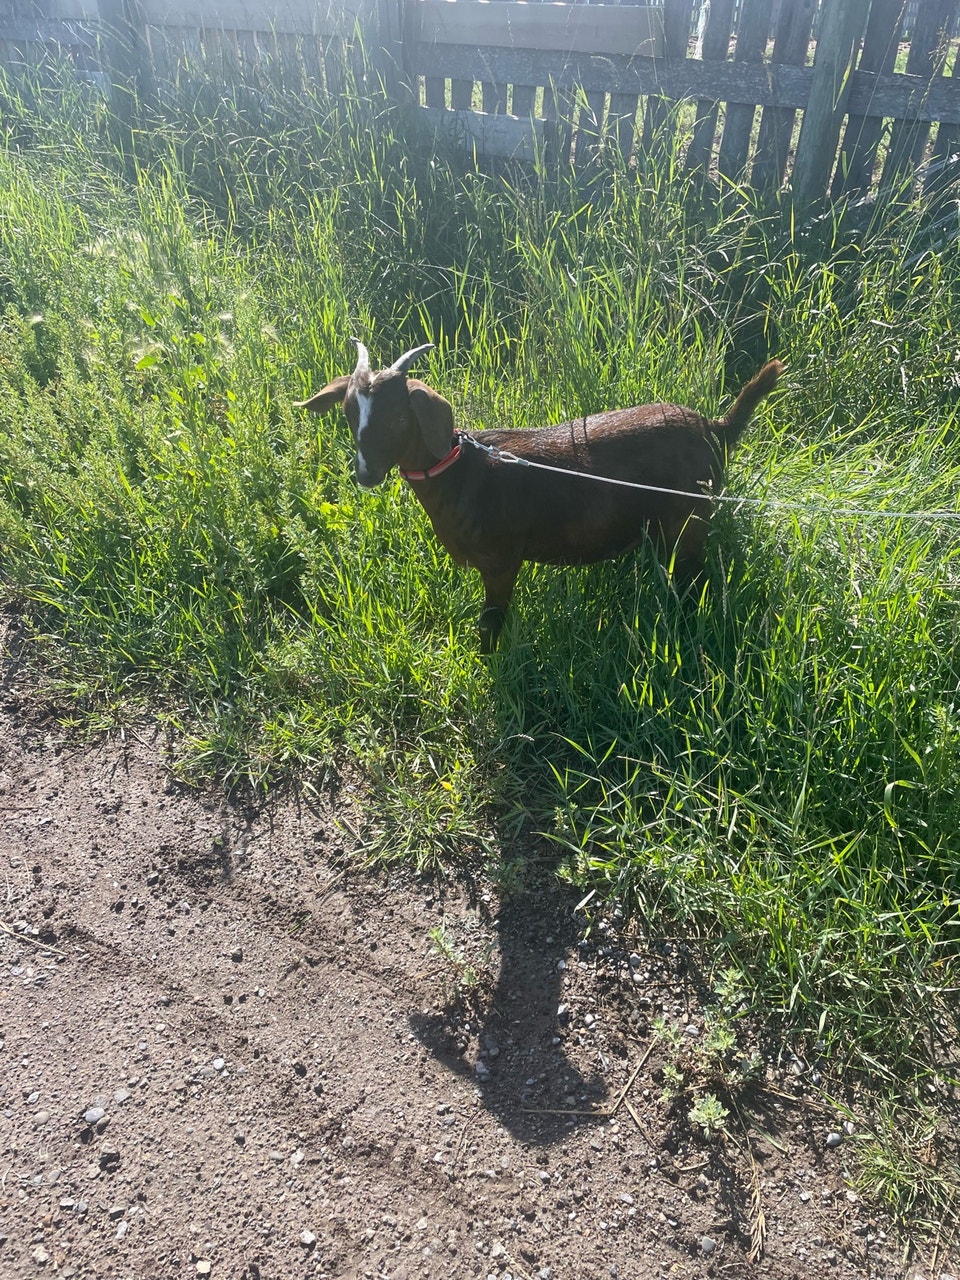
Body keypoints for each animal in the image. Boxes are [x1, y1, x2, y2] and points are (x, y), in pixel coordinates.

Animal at [297, 341, 782, 652]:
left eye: (400, 416)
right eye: (348, 412)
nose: (366, 473)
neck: (461, 472)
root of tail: (715, 429)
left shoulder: (501, 560)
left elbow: (490, 624)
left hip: (689, 521)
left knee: (695, 580)